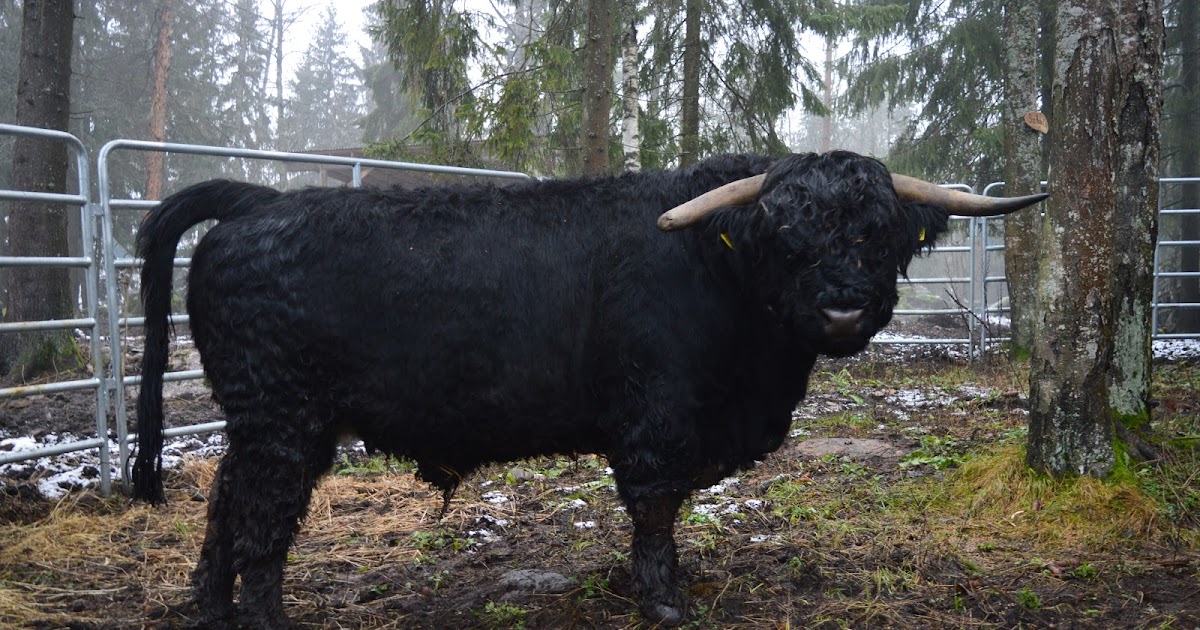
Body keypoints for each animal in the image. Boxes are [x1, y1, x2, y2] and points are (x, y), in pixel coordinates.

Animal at [131, 150, 1045, 628]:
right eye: (786, 233)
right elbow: (654, 512)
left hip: (261, 419)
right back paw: (260, 616)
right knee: (261, 519)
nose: (844, 305)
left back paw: (207, 609)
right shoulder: (655, 418)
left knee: (224, 501)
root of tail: (257, 202)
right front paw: (665, 604)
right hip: (284, 416)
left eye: (878, 233)